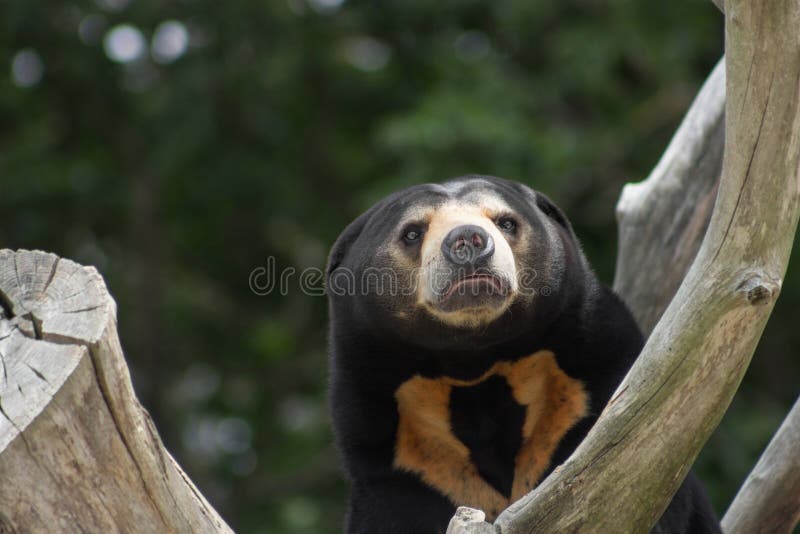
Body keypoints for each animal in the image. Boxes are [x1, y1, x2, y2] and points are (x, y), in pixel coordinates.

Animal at [325, 175, 721, 534]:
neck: (474, 360)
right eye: (412, 232)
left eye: (505, 222)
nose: (469, 240)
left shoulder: (593, 380)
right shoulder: (398, 453)